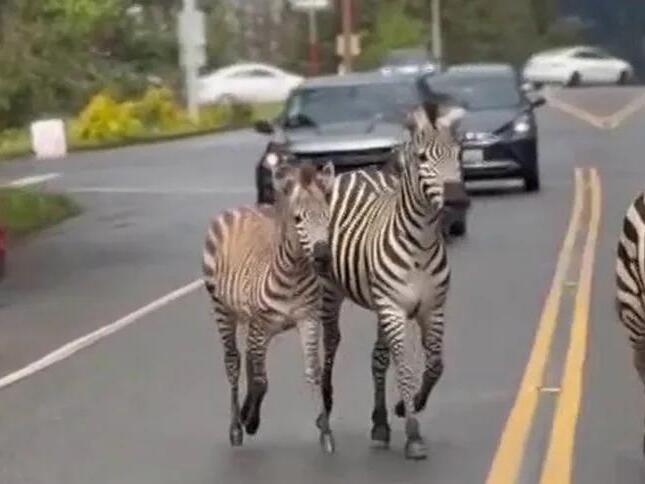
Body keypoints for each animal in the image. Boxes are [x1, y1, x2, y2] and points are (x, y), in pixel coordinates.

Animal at [202, 160, 336, 451]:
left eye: (327, 216)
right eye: (297, 219)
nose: (322, 256)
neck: (294, 275)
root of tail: (239, 207)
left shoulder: (308, 319)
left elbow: (314, 373)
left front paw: (326, 433)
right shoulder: (261, 323)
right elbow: (261, 381)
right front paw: (250, 421)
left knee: (249, 359)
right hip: (223, 310)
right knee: (234, 362)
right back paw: (236, 427)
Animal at [314, 105, 463, 460]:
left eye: (459, 153)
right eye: (422, 158)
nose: (456, 199)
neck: (421, 242)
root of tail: (355, 172)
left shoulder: (432, 308)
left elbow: (435, 365)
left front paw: (406, 407)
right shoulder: (394, 309)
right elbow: (406, 369)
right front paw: (413, 433)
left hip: (380, 304)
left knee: (378, 357)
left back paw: (380, 423)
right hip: (330, 291)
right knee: (332, 342)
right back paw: (325, 406)